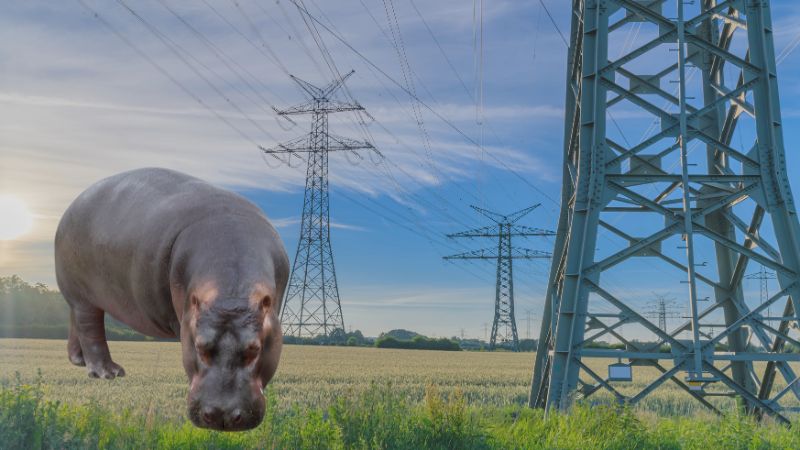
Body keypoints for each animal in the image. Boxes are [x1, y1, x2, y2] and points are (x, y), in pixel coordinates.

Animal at [54, 167, 289, 431]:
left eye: (255, 349)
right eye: (199, 346)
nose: (223, 416)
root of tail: (73, 203)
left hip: (78, 298)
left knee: (75, 321)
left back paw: (78, 360)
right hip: (83, 294)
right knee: (90, 328)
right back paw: (108, 373)